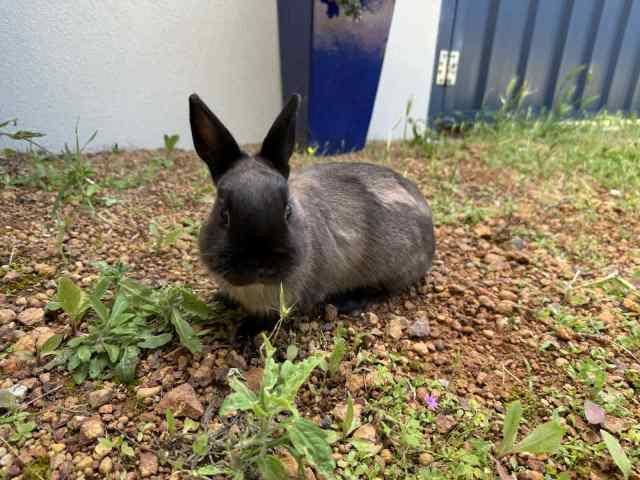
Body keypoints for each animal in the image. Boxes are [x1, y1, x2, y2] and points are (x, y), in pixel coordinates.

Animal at [189, 93, 436, 316]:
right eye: (223, 215)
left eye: (288, 211)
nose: (261, 263)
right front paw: (220, 298)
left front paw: (246, 330)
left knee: (383, 291)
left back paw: (348, 303)